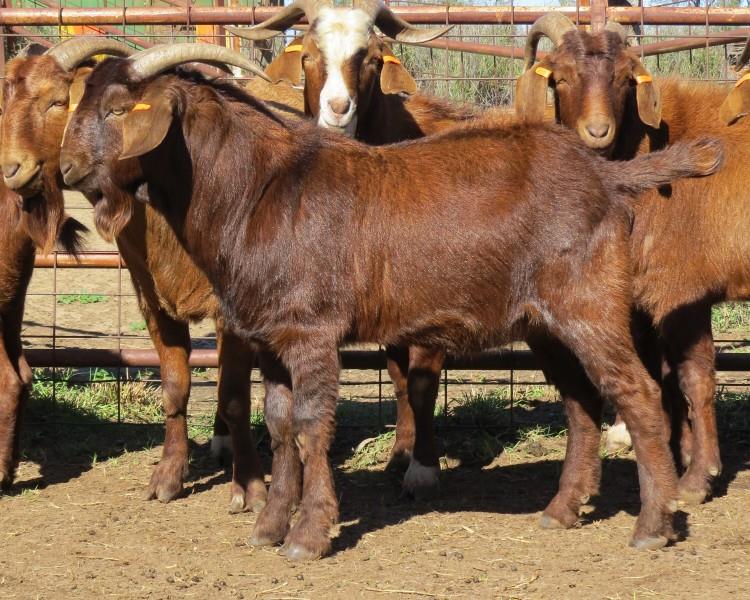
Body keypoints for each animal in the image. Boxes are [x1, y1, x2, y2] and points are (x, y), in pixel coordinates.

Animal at [0, 39, 272, 512]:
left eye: (57, 101)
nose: (10, 169)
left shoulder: (230, 309)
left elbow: (235, 398)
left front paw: (251, 489)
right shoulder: (152, 300)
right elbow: (175, 388)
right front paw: (168, 478)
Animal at [59, 44, 722, 559]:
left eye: (118, 109)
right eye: (77, 104)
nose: (67, 168)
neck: (256, 191)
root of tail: (606, 177)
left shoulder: (311, 331)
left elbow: (311, 427)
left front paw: (309, 535)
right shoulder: (271, 338)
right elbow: (278, 425)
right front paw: (268, 527)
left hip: (589, 306)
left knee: (638, 394)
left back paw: (653, 525)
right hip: (543, 324)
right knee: (581, 403)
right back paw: (561, 510)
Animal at [514, 12, 750, 507]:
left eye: (624, 80)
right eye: (560, 78)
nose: (597, 132)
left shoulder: (682, 290)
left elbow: (695, 378)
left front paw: (698, 478)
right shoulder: (643, 300)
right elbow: (664, 379)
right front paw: (678, 459)